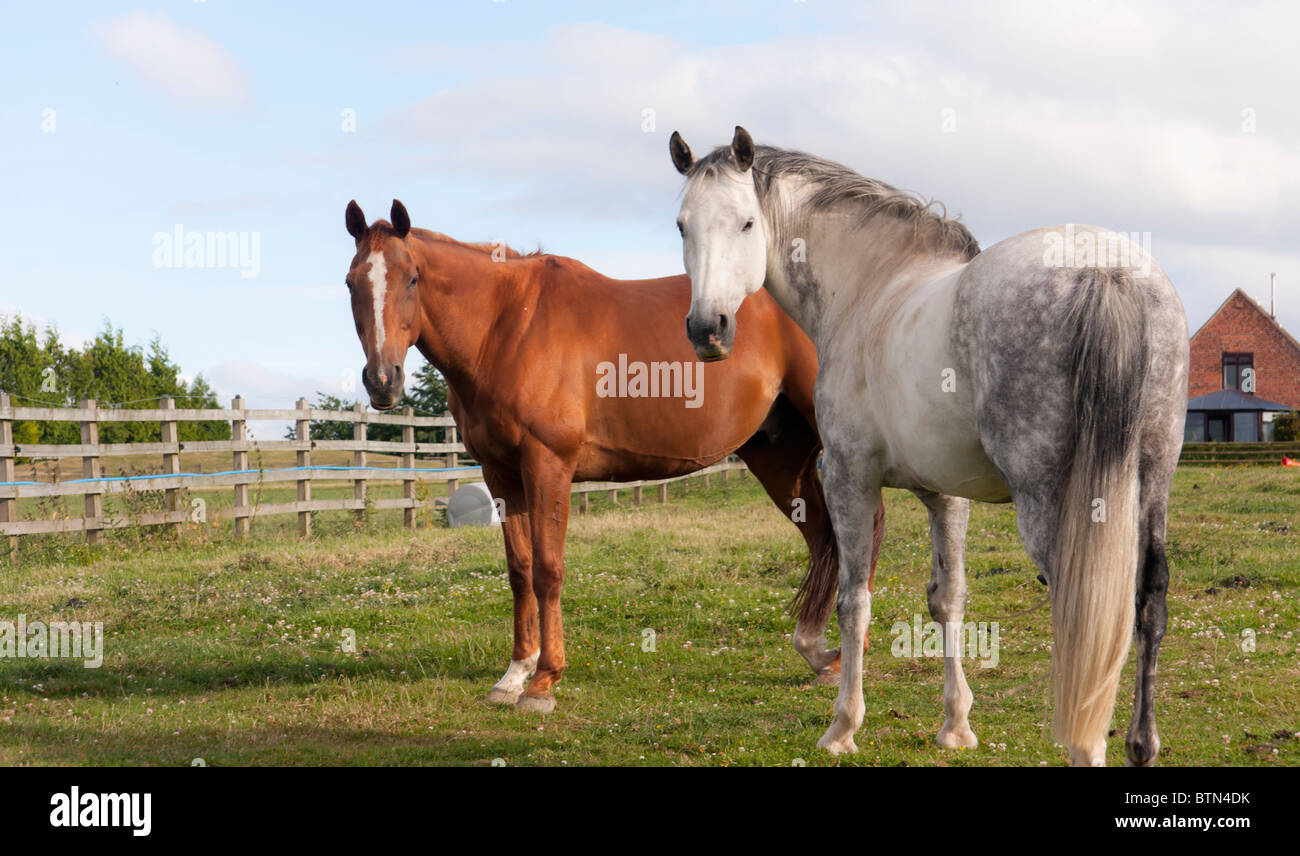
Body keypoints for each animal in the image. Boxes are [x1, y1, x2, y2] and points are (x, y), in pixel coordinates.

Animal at [342, 199, 884, 713]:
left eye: (413, 277)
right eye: (350, 282)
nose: (382, 381)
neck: (507, 326)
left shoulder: (547, 466)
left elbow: (547, 570)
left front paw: (543, 682)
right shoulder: (500, 475)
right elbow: (519, 571)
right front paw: (513, 675)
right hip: (780, 457)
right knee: (824, 538)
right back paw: (819, 654)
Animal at [668, 128, 1188, 766]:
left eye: (745, 223)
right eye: (682, 226)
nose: (707, 329)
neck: (871, 288)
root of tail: (1106, 271)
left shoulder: (848, 479)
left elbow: (854, 601)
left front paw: (843, 726)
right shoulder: (947, 496)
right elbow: (949, 598)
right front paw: (956, 725)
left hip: (1053, 505)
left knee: (1084, 612)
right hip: (1152, 483)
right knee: (1149, 598)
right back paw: (1141, 743)